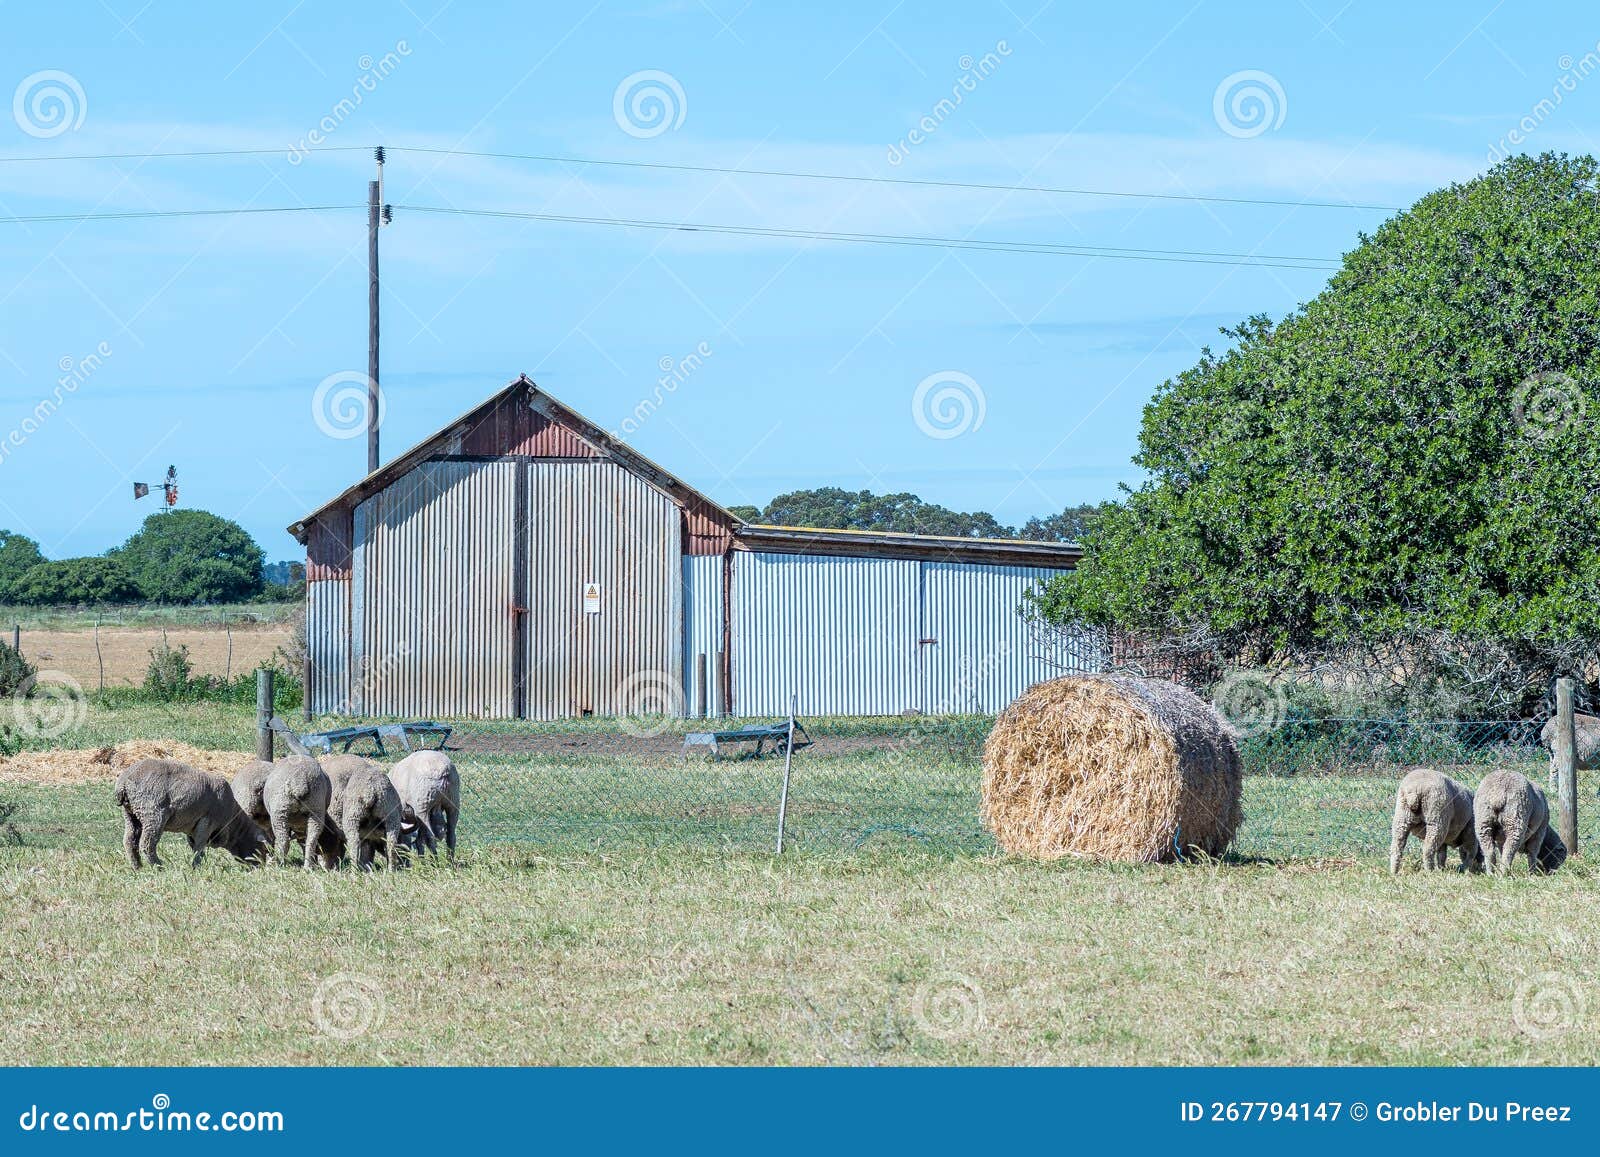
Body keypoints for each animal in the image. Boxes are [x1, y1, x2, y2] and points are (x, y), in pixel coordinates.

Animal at [114, 758, 269, 869]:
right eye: (262, 848)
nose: (260, 867)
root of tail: (123, 782)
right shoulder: (207, 822)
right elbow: (199, 847)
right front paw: (196, 867)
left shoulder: (193, 827)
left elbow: (194, 846)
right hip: (152, 813)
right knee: (147, 844)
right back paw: (159, 867)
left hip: (131, 814)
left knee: (129, 841)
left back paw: (137, 867)